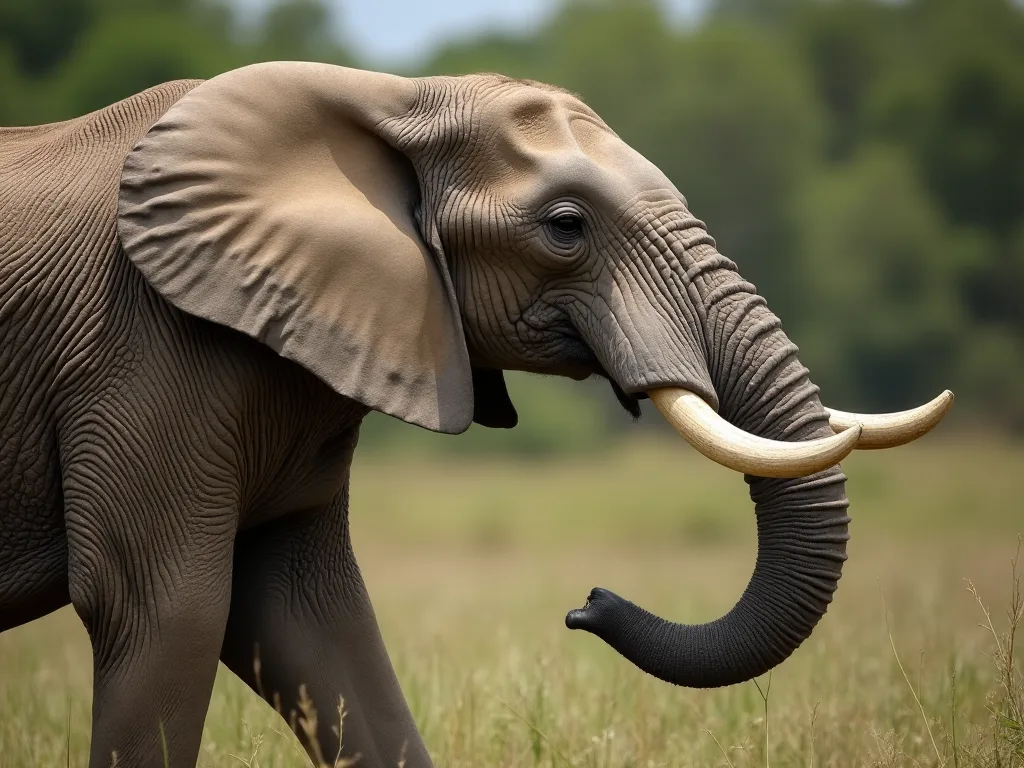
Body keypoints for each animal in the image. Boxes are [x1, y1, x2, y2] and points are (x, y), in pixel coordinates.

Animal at [0, 62, 952, 767]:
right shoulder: (141, 349)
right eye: (566, 227)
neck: (387, 95)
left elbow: (305, 616)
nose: (587, 603)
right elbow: (170, 612)